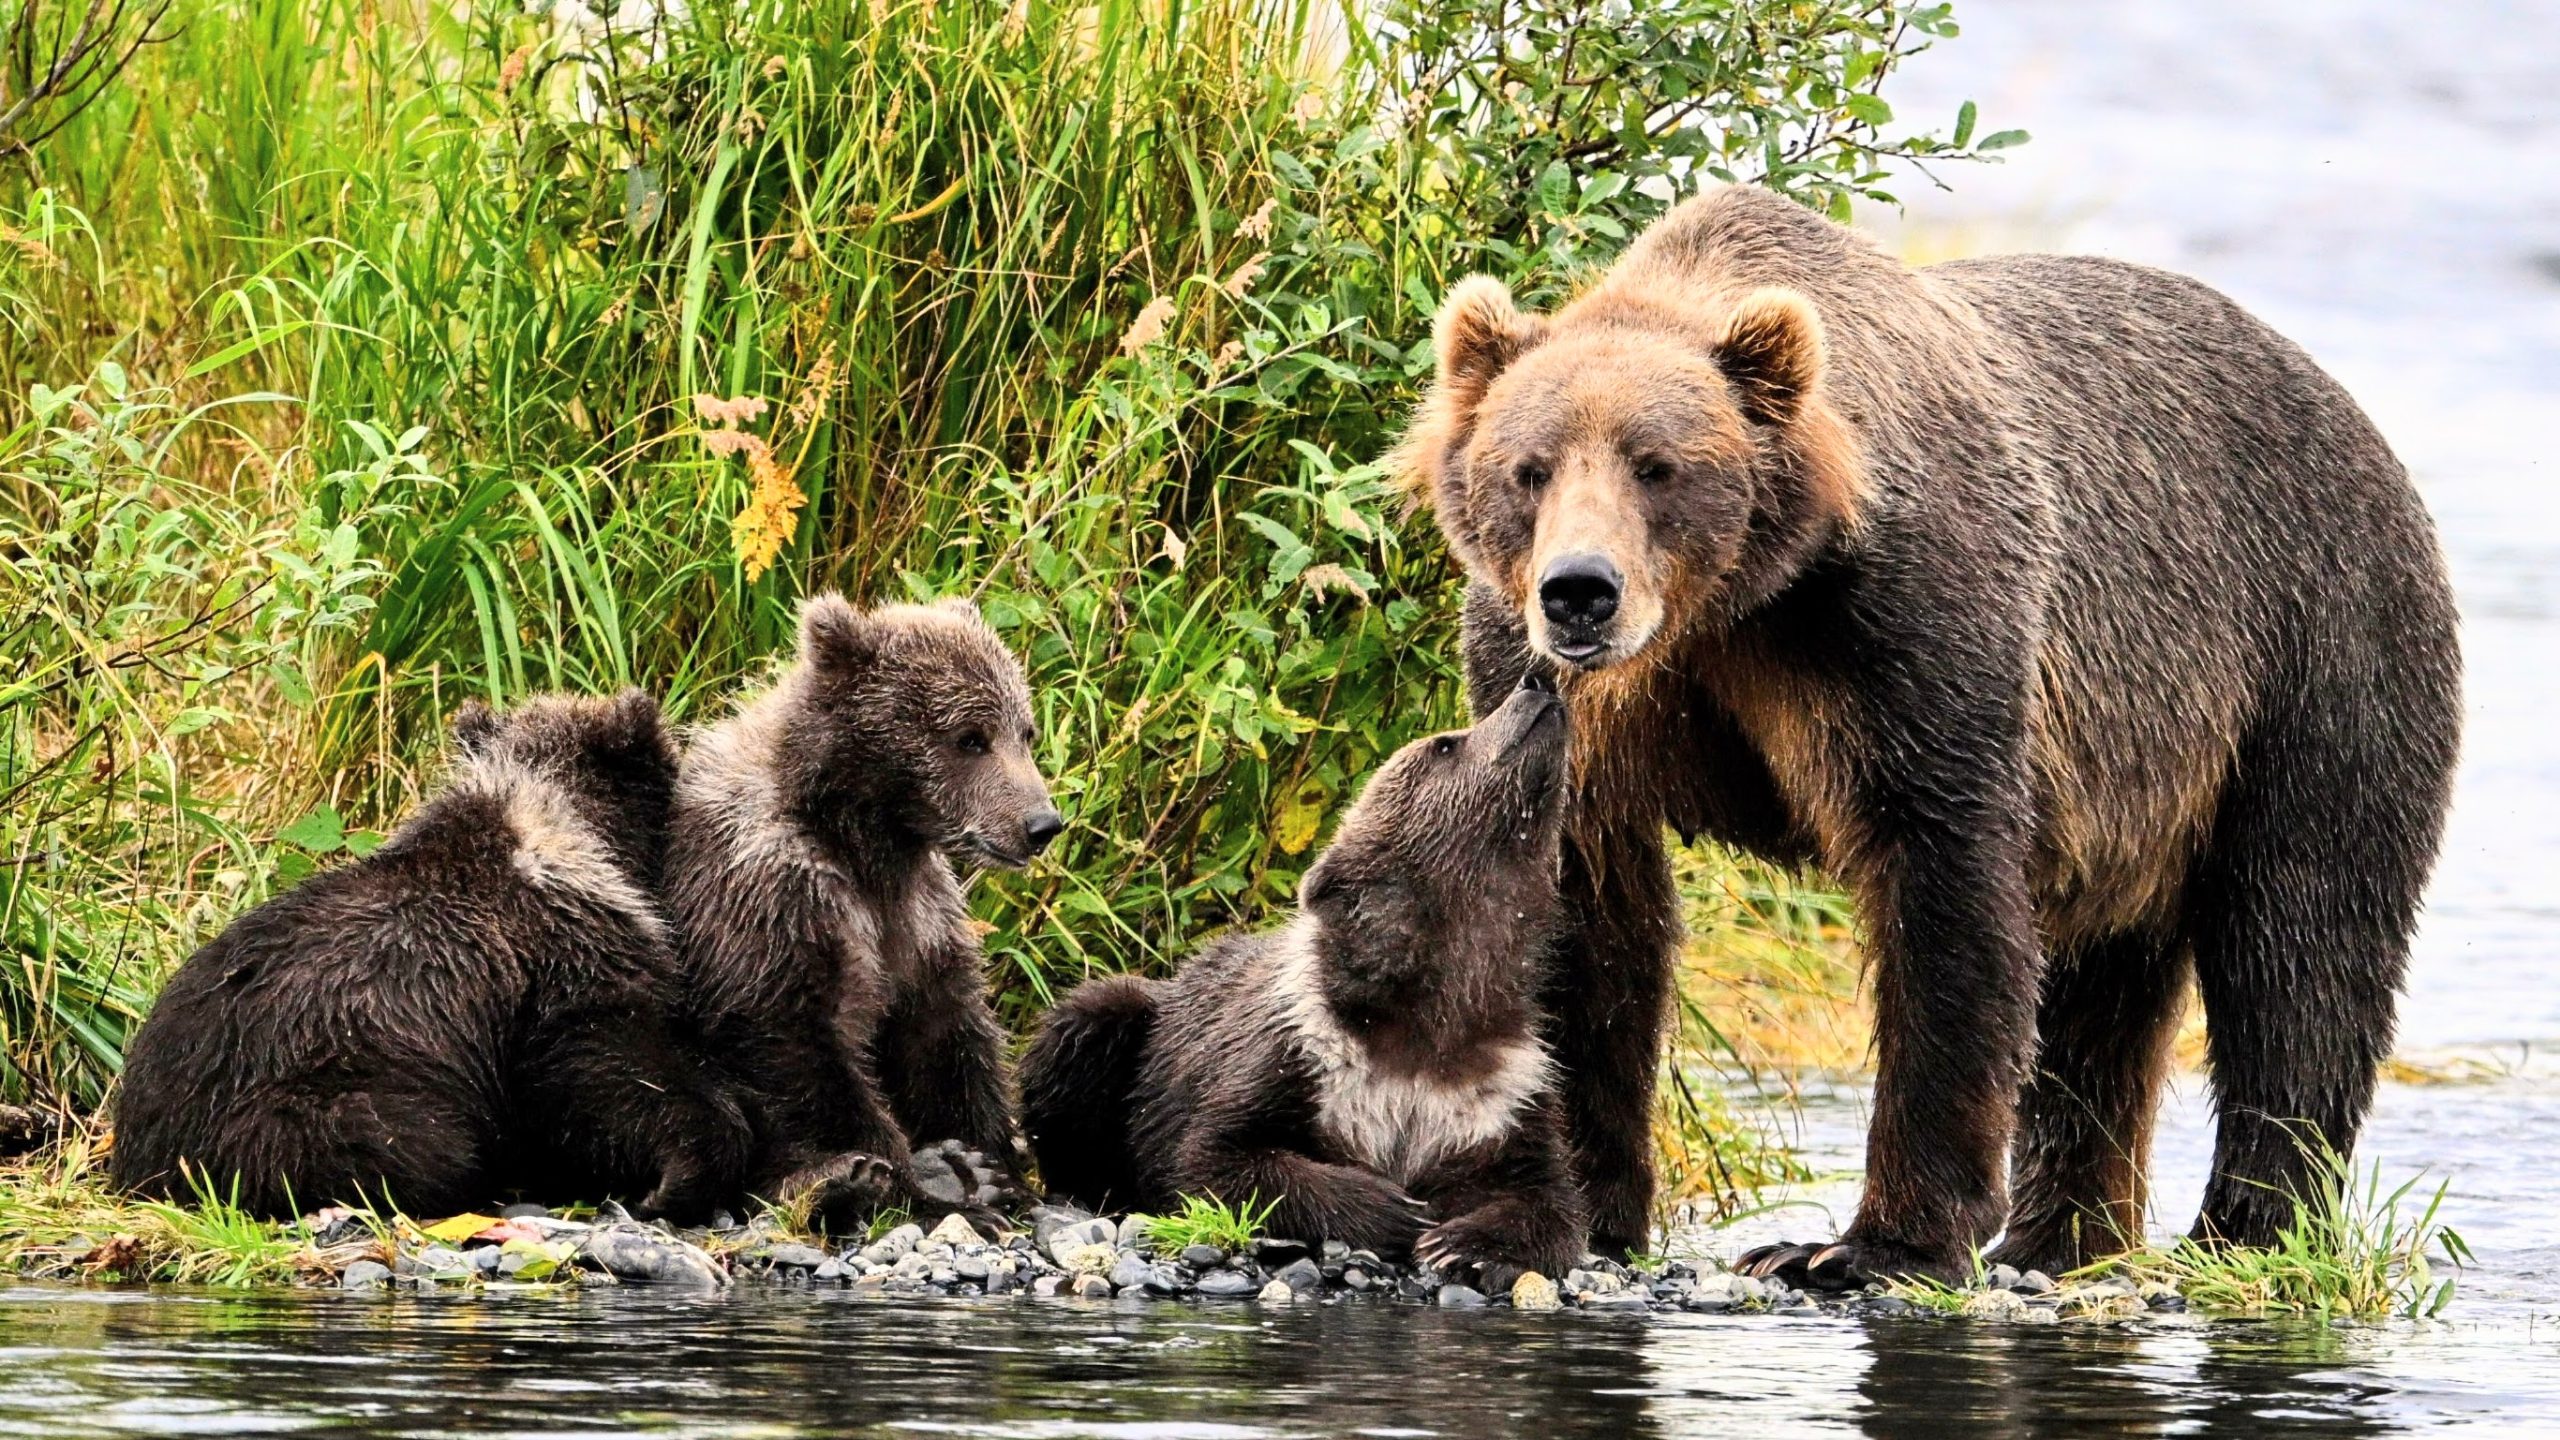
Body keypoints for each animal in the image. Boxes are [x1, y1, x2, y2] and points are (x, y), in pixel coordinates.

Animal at [110, 690, 749, 1222]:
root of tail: (139, 1165)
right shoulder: (560, 965)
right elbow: (608, 1067)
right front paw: (680, 1176)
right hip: (316, 1103)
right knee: (422, 1148)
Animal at [667, 594, 1061, 1229]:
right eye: (970, 738)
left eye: (1024, 731)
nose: (1041, 824)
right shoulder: (771, 894)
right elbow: (795, 1039)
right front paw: (923, 1184)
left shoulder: (921, 916)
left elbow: (946, 1033)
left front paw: (993, 1168)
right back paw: (843, 1182)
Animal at [1019, 674, 1588, 1284]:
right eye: (1445, 744)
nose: (1535, 685)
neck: (1433, 1006)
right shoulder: (1299, 1048)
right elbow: (1214, 1154)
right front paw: (1395, 1209)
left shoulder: (1504, 1089)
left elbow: (1549, 1197)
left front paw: (1464, 1245)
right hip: (1140, 1023)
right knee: (1086, 1028)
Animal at [1399, 183, 2462, 1284]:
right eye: (1528, 469)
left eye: (1659, 467)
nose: (1581, 591)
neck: (1734, 605)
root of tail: (2344, 406)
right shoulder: (1568, 696)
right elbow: (1576, 917)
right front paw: (1549, 1219)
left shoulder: (1898, 631)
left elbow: (1944, 887)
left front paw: (1865, 1244)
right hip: (2141, 787)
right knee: (2107, 993)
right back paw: (2066, 1236)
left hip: (2313, 649)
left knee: (2301, 937)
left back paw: (2248, 1229)